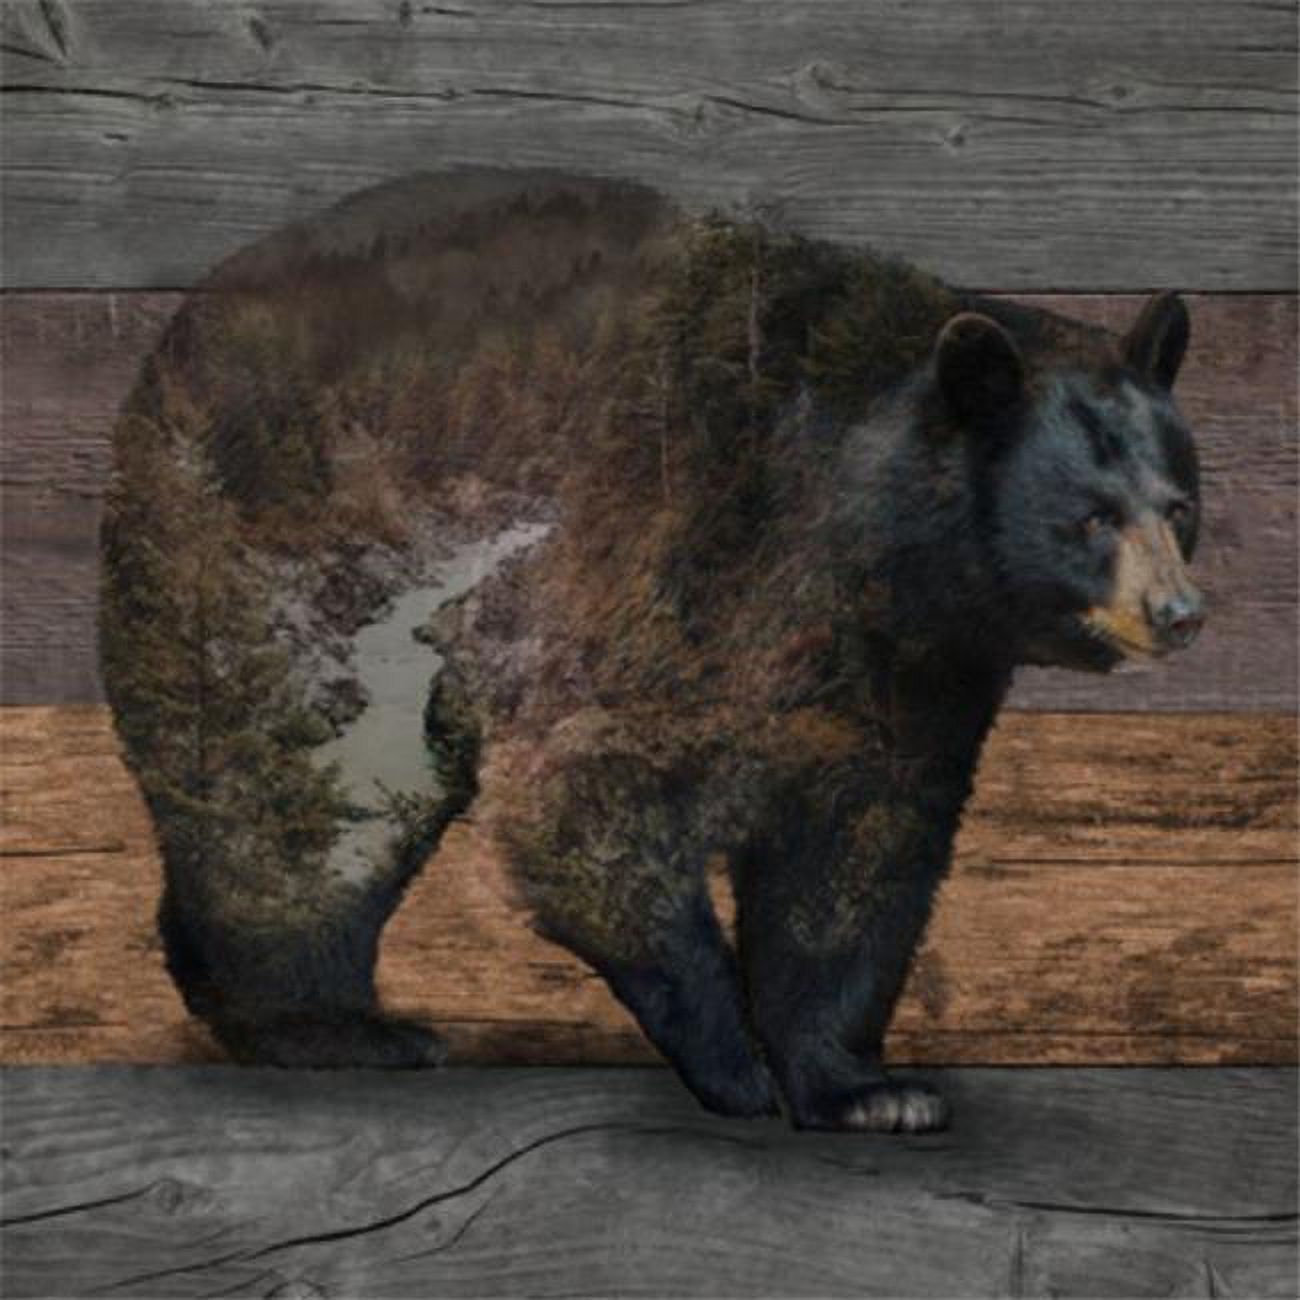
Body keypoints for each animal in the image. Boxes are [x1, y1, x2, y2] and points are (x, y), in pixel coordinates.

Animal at [100, 168, 1204, 1132]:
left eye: (1179, 506)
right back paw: (328, 1024)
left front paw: (861, 1087)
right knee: (310, 798)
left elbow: (856, 859)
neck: (861, 548)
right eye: (1091, 517)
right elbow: (588, 803)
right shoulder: (675, 562)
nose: (1180, 611)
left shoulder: (913, 677)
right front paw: (734, 1063)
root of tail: (181, 329)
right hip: (283, 561)